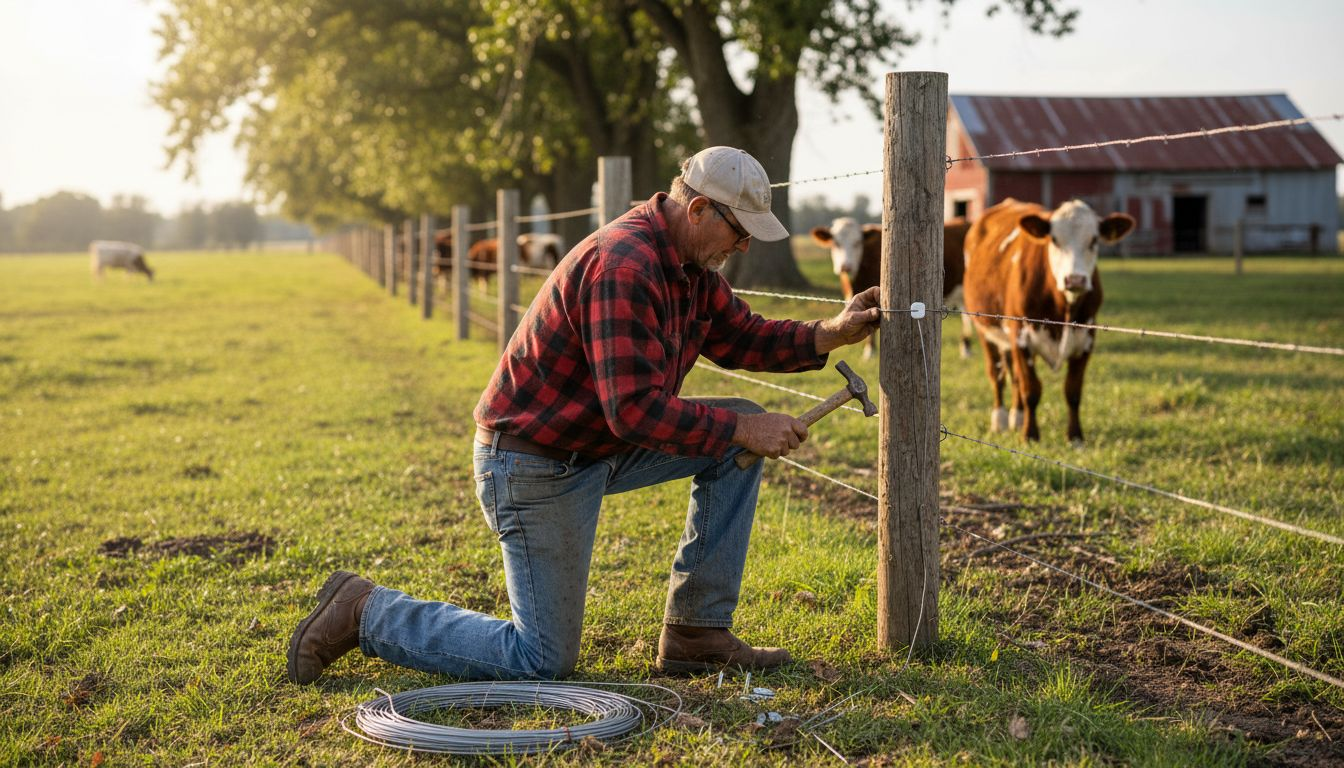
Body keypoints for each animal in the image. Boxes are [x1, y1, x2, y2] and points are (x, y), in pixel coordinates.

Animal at [810, 217, 973, 359]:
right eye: (835, 243)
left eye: (857, 243)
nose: (845, 266)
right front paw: (869, 351)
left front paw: (870, 352)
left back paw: (966, 348)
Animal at [962, 198, 1135, 445]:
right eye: (1054, 239)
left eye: (1094, 240)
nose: (1075, 279)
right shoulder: (1021, 337)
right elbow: (1031, 389)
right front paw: (1030, 435)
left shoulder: (1086, 340)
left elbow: (1073, 391)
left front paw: (1075, 437)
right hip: (985, 329)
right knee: (997, 375)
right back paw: (1000, 420)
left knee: (1015, 376)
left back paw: (1017, 416)